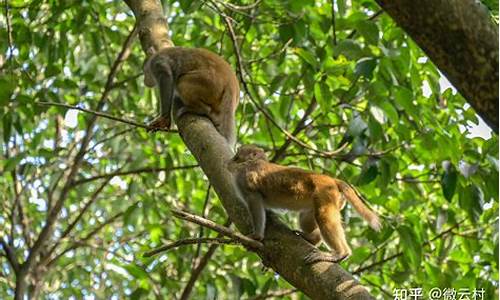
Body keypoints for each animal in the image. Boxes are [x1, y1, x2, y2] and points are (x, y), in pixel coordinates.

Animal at [228, 145, 382, 262]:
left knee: (323, 217)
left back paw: (341, 253)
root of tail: (332, 179)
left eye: (239, 152)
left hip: (325, 193)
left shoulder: (243, 178)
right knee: (307, 217)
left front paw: (257, 236)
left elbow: (255, 201)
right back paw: (313, 239)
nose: (233, 157)